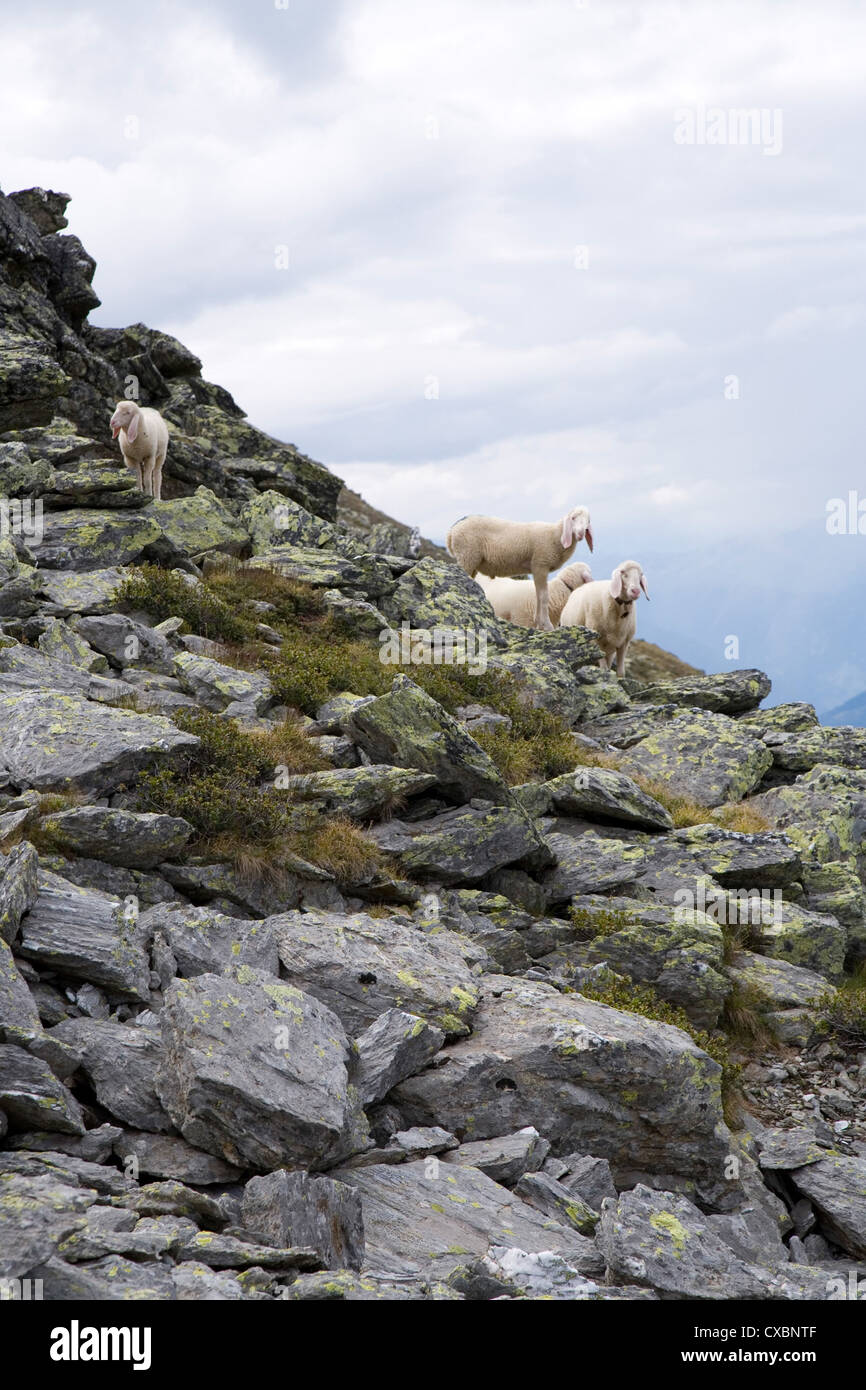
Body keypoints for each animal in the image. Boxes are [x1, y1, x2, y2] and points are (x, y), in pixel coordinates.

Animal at [447, 507, 593, 631]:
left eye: (588, 520)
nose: (580, 534)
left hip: (471, 561)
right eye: (573, 518)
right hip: (466, 555)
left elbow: (538, 596)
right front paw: (547, 625)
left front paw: (539, 624)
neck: (555, 535)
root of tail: (453, 530)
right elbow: (544, 597)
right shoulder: (540, 564)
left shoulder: (537, 568)